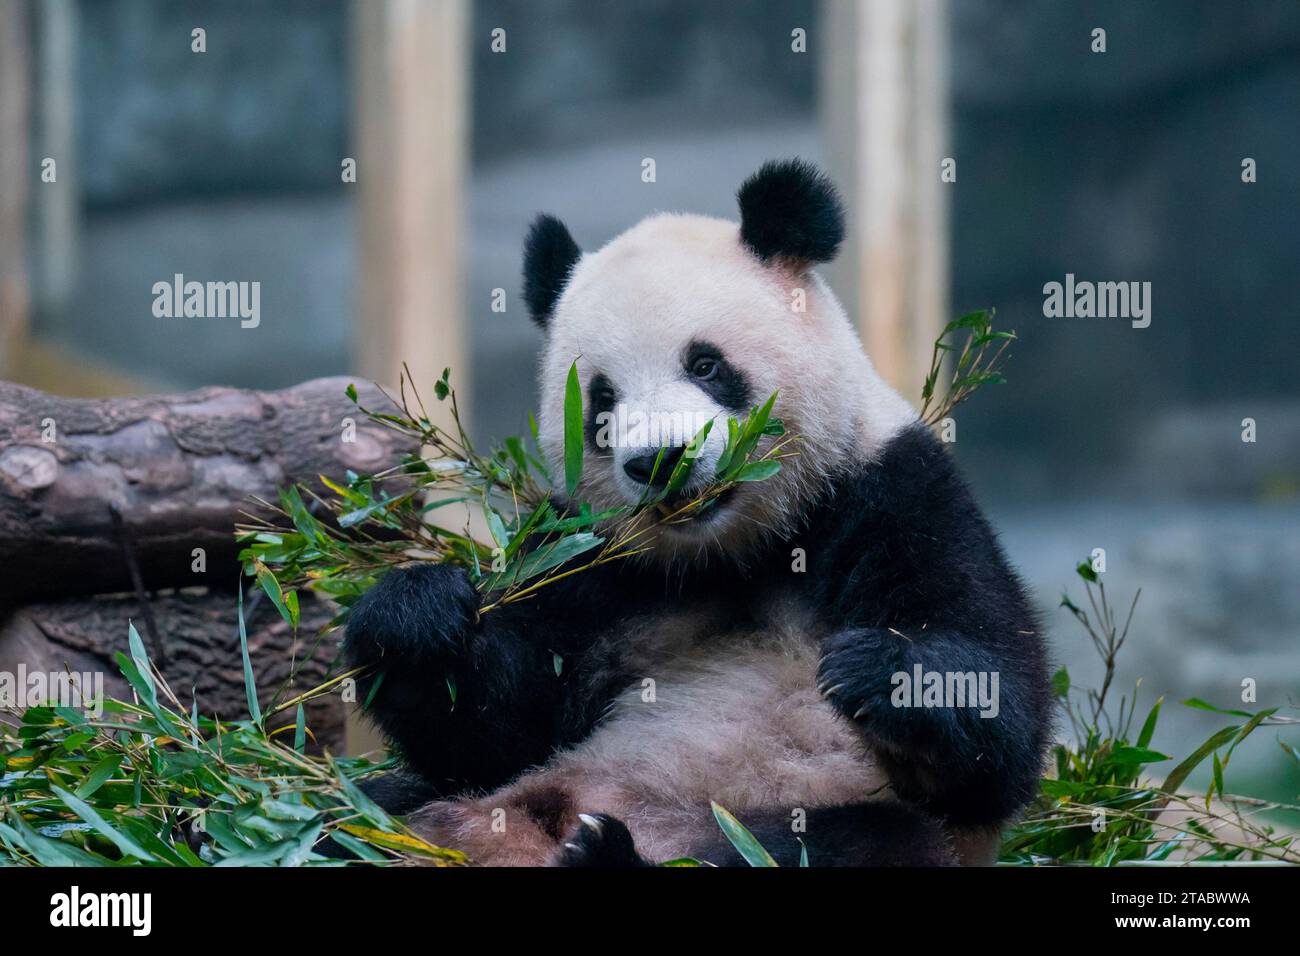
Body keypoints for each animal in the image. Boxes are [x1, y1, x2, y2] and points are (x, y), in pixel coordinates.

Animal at [342, 159, 1051, 867]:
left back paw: (605, 853)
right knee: (371, 808)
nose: (658, 460)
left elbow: (996, 731)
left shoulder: (892, 493)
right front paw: (414, 614)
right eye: (602, 400)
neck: (734, 550)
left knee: (865, 841)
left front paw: (878, 670)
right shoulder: (591, 559)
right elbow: (496, 732)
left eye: (706, 364)